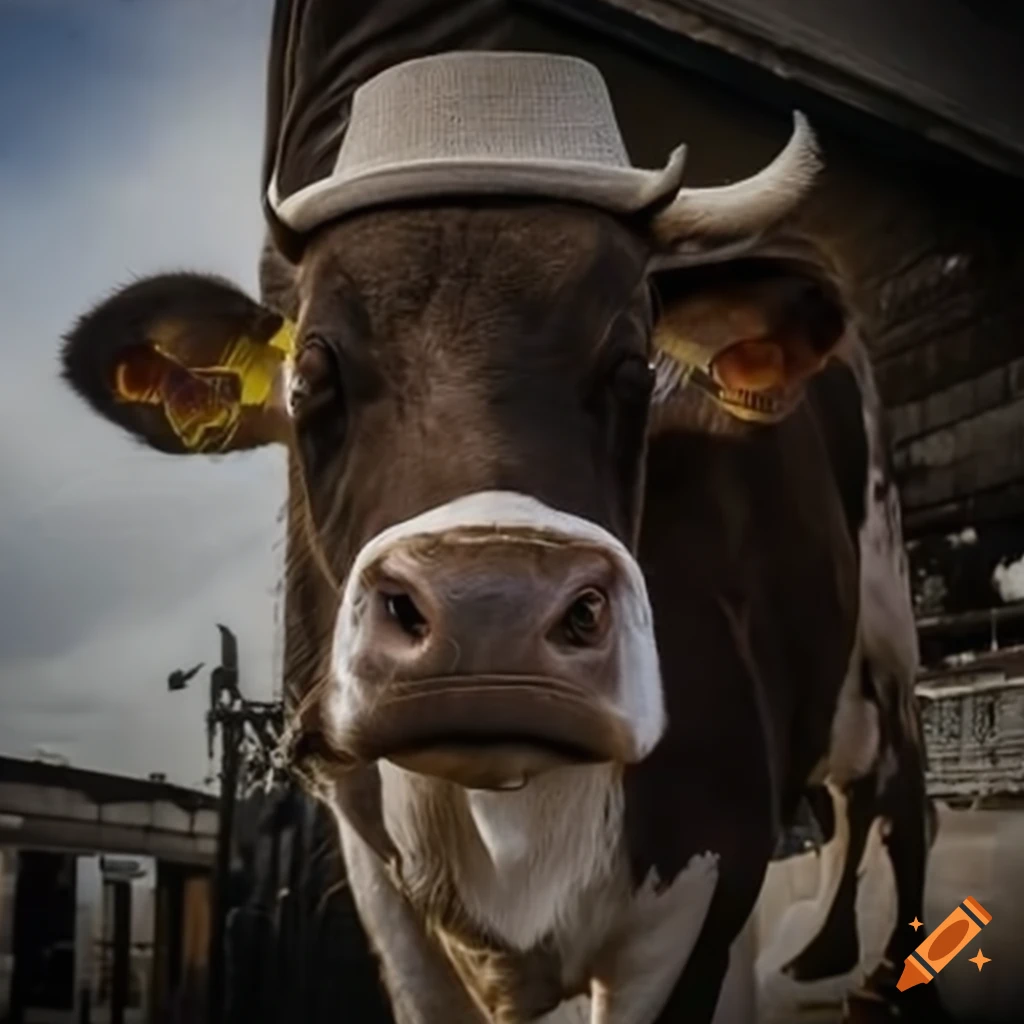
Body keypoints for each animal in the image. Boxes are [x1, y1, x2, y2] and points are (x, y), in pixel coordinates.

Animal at [58, 3, 933, 1021]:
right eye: (311, 373)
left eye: (633, 366)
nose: (491, 618)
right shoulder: (389, 901)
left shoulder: (707, 878)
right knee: (852, 797)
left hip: (885, 615)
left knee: (898, 786)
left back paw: (883, 971)